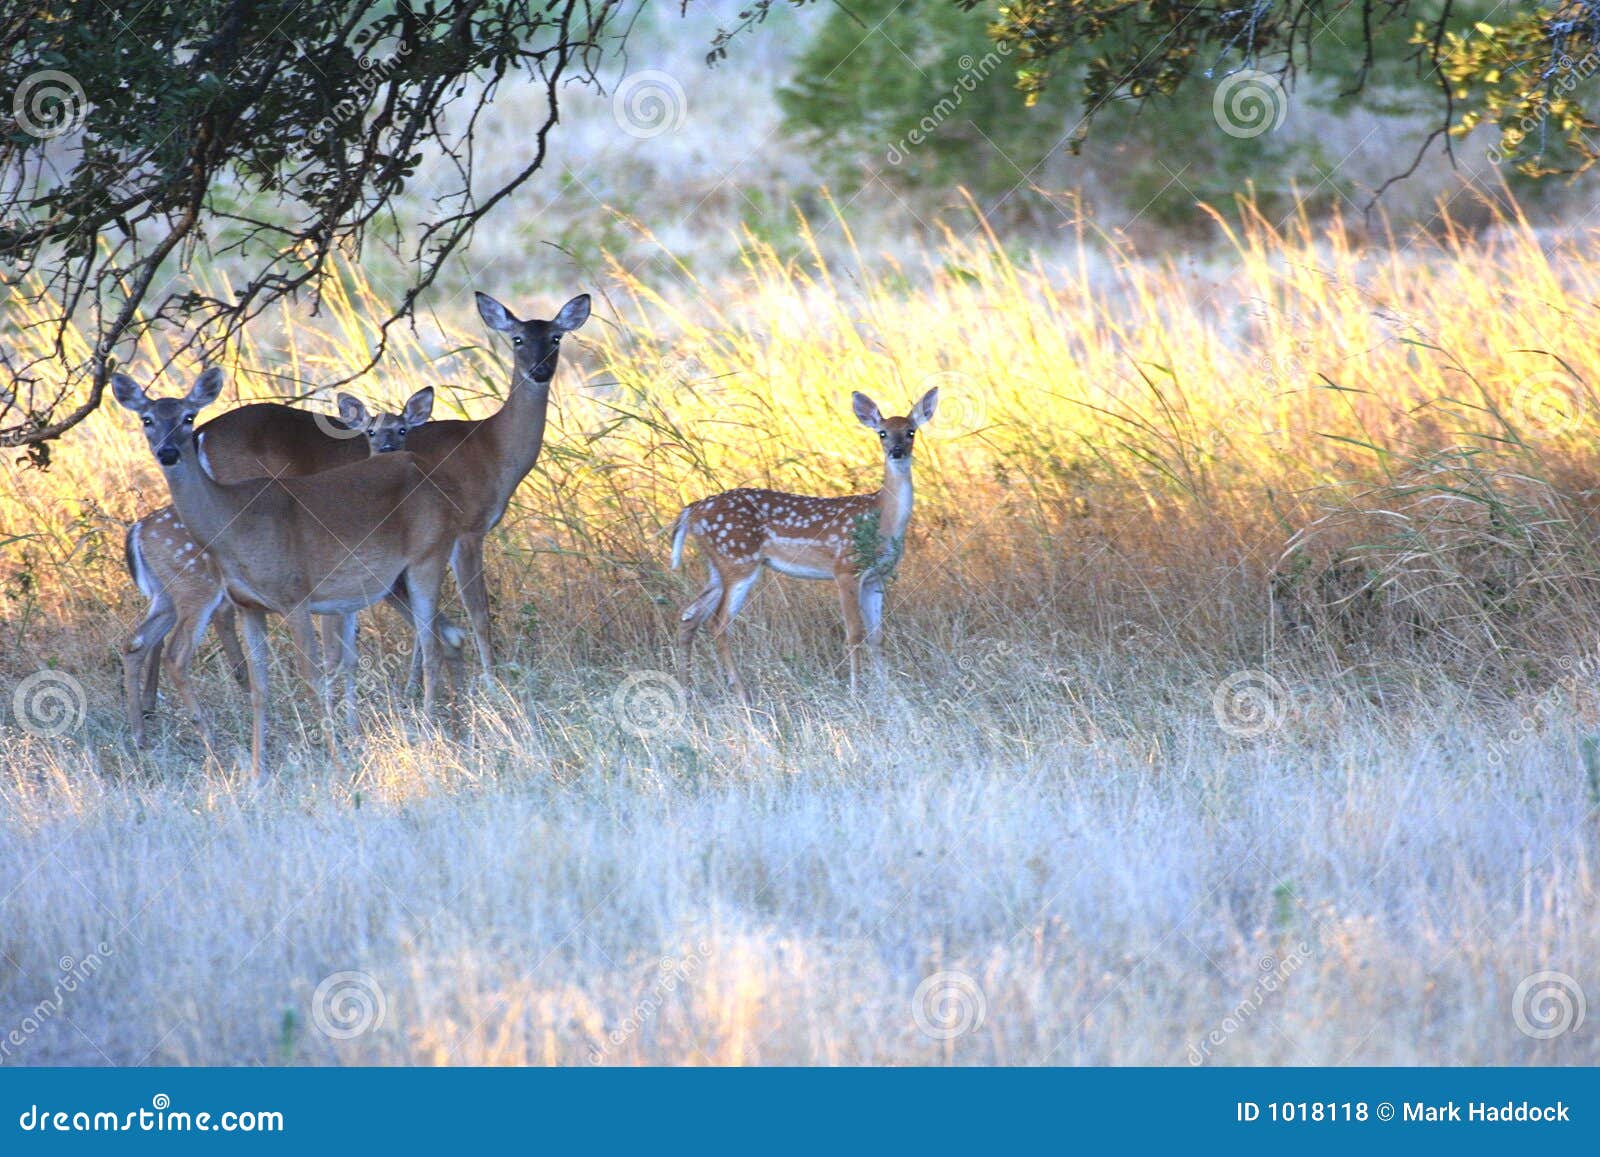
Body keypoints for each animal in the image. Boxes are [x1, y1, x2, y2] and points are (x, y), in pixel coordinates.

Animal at [114, 368, 461, 778]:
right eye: (146, 419)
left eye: (188, 417)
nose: (167, 453)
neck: (235, 525)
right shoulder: (250, 606)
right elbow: (263, 688)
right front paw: (256, 771)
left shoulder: (296, 595)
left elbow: (314, 677)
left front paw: (338, 758)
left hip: (429, 555)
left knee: (434, 644)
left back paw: (429, 731)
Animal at [669, 388, 939, 701]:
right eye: (882, 433)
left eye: (910, 432)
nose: (896, 451)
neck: (883, 518)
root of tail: (692, 511)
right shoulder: (845, 569)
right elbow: (854, 633)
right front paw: (855, 692)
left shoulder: (876, 577)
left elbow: (877, 636)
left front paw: (889, 692)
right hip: (738, 560)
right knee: (717, 623)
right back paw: (743, 696)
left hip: (718, 566)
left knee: (689, 616)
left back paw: (686, 693)